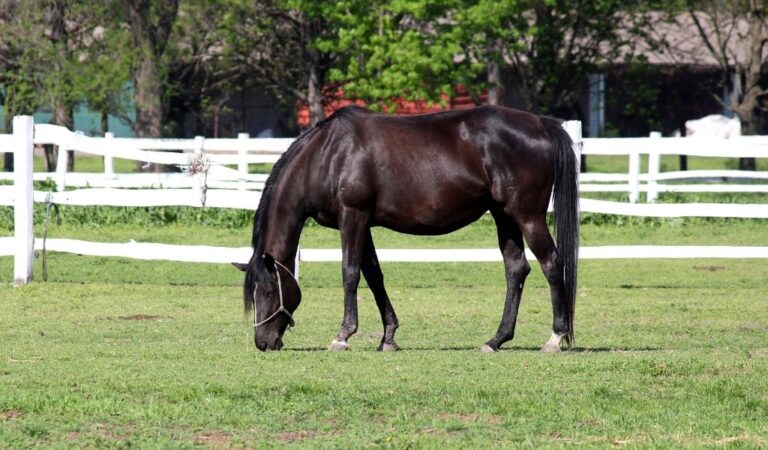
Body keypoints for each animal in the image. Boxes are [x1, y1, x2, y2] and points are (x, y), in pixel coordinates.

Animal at [233, 105, 579, 353]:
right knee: (516, 269)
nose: (263, 342)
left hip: (527, 216)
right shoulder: (364, 223)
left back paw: (555, 338)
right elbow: (374, 275)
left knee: (551, 264)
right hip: (503, 216)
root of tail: (540, 123)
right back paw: (496, 340)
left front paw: (343, 336)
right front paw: (388, 337)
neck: (327, 155)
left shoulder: (352, 216)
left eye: (268, 290)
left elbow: (350, 272)